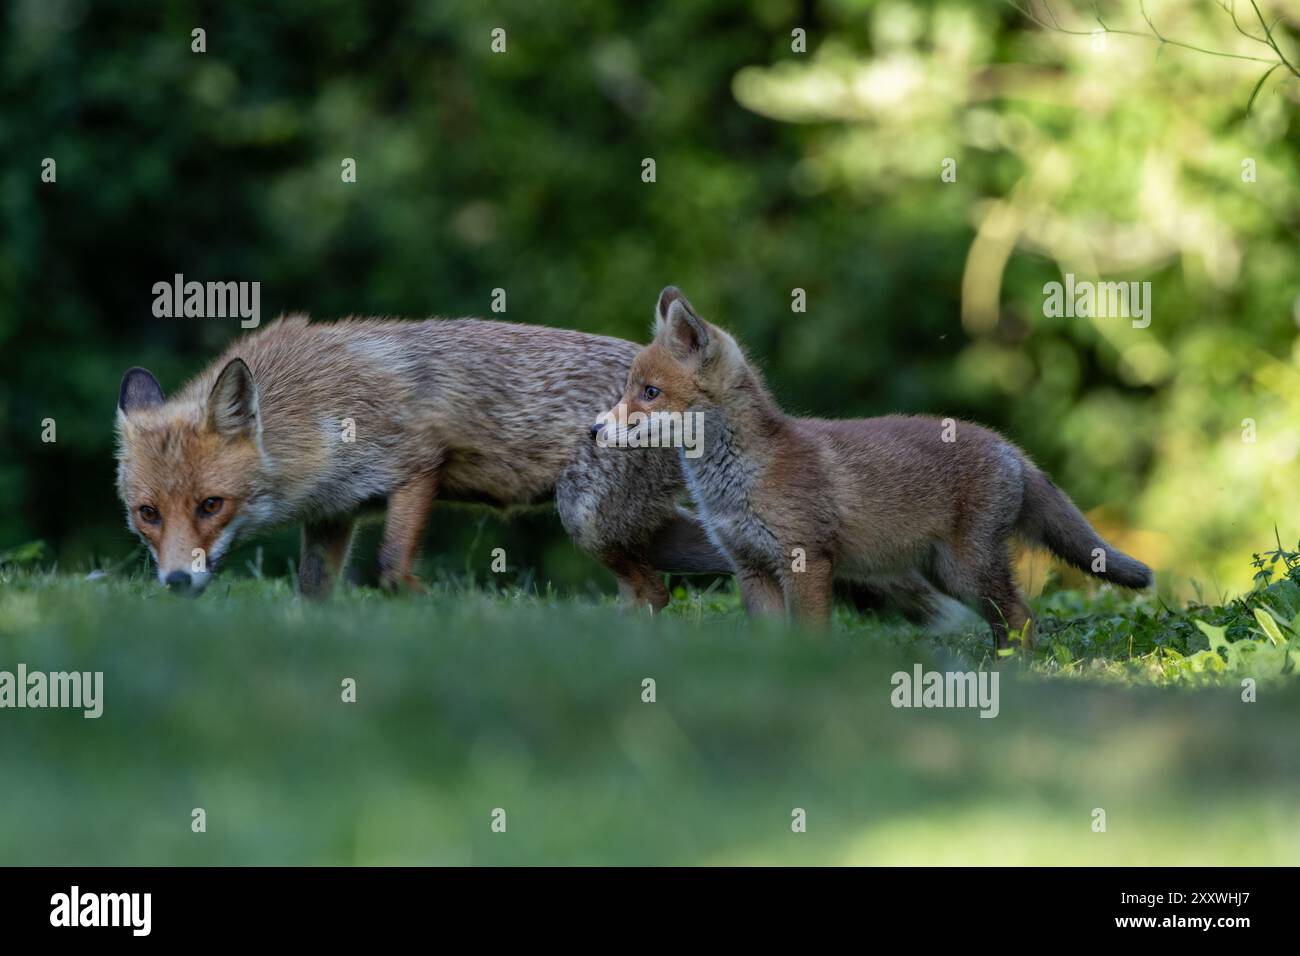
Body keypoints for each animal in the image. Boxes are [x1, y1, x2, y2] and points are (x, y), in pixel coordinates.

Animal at [114, 314, 728, 602]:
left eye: (210, 505)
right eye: (148, 514)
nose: (174, 582)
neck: (316, 407)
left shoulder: (417, 463)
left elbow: (391, 568)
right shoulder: (333, 514)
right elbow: (312, 593)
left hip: (588, 520)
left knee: (651, 592)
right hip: (642, 530)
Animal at [594, 287, 1153, 650]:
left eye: (650, 393)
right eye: (628, 391)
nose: (596, 429)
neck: (737, 480)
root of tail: (1008, 446)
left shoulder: (806, 562)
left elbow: (810, 636)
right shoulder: (751, 568)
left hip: (967, 569)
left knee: (1023, 617)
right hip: (947, 574)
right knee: (1014, 620)